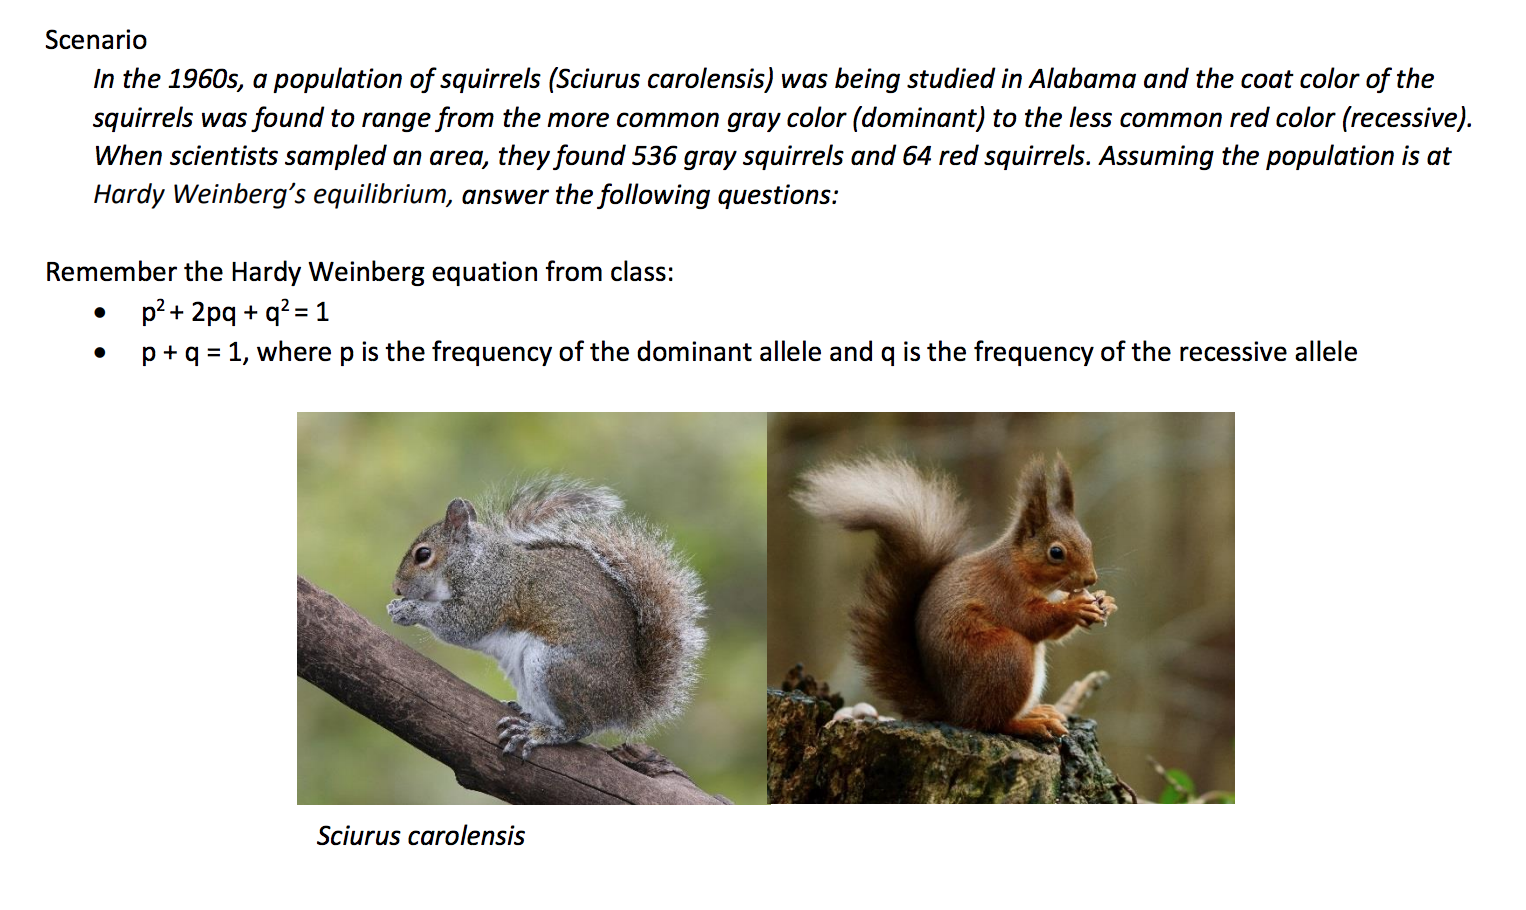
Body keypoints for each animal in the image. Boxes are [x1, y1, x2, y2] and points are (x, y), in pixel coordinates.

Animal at [386, 477, 706, 757]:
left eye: (423, 554)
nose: (397, 588)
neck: (474, 561)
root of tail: (629, 703)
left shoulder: (490, 593)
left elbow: (461, 624)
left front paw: (408, 610)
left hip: (553, 668)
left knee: (580, 727)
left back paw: (539, 733)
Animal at [795, 455, 1117, 740]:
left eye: (1088, 541)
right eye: (1056, 552)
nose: (1090, 579)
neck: (1021, 568)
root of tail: (952, 710)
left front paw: (1104, 601)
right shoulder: (1004, 590)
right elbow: (1031, 620)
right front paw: (1074, 606)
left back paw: (1039, 712)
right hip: (1005, 656)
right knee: (989, 722)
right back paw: (1029, 723)